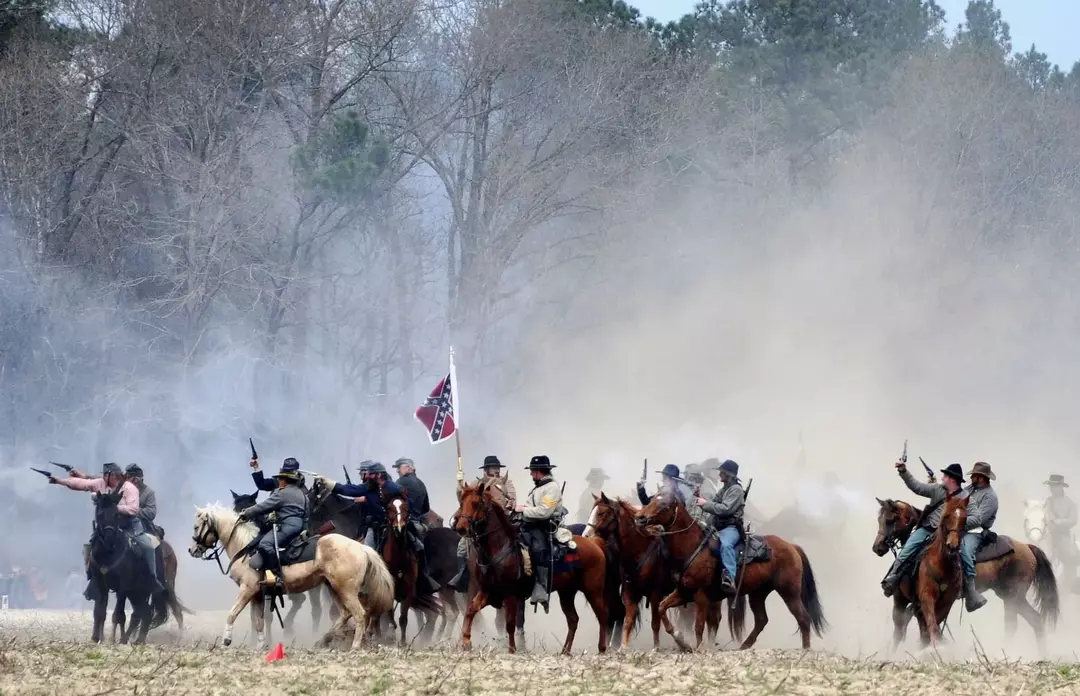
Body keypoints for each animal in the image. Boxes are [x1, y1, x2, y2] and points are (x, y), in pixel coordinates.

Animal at [187, 503, 395, 648]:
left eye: (196, 527)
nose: (192, 550)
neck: (245, 548)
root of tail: (361, 547)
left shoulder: (247, 589)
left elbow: (232, 614)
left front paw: (226, 640)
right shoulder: (257, 594)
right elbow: (259, 622)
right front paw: (261, 646)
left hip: (346, 590)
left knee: (359, 614)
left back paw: (354, 646)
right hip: (334, 588)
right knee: (345, 614)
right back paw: (323, 640)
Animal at [453, 482, 609, 657]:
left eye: (476, 503)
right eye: (461, 503)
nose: (460, 527)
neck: (499, 548)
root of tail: (595, 543)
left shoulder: (511, 594)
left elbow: (510, 623)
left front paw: (512, 650)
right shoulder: (487, 591)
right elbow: (470, 610)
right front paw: (466, 642)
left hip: (593, 590)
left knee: (602, 615)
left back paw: (602, 649)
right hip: (567, 593)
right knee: (573, 619)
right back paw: (565, 651)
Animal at [587, 492, 721, 648]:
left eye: (601, 513)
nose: (586, 536)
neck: (640, 551)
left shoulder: (656, 593)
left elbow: (655, 623)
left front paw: (656, 646)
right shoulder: (630, 592)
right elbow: (628, 619)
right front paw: (623, 646)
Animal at [635, 492, 820, 648]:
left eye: (664, 505)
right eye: (652, 500)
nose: (640, 518)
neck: (693, 546)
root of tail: (792, 546)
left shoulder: (701, 596)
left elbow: (699, 626)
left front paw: (698, 648)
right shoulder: (683, 592)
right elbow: (661, 608)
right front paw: (681, 641)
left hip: (789, 592)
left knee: (803, 618)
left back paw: (805, 650)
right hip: (758, 593)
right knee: (761, 620)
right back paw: (743, 647)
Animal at [872, 494, 1058, 652]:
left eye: (890, 520)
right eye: (879, 519)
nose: (877, 547)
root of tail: (1027, 547)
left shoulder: (903, 600)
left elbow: (905, 629)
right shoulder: (915, 603)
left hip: (1014, 597)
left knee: (1025, 622)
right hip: (1008, 597)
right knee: (1027, 622)